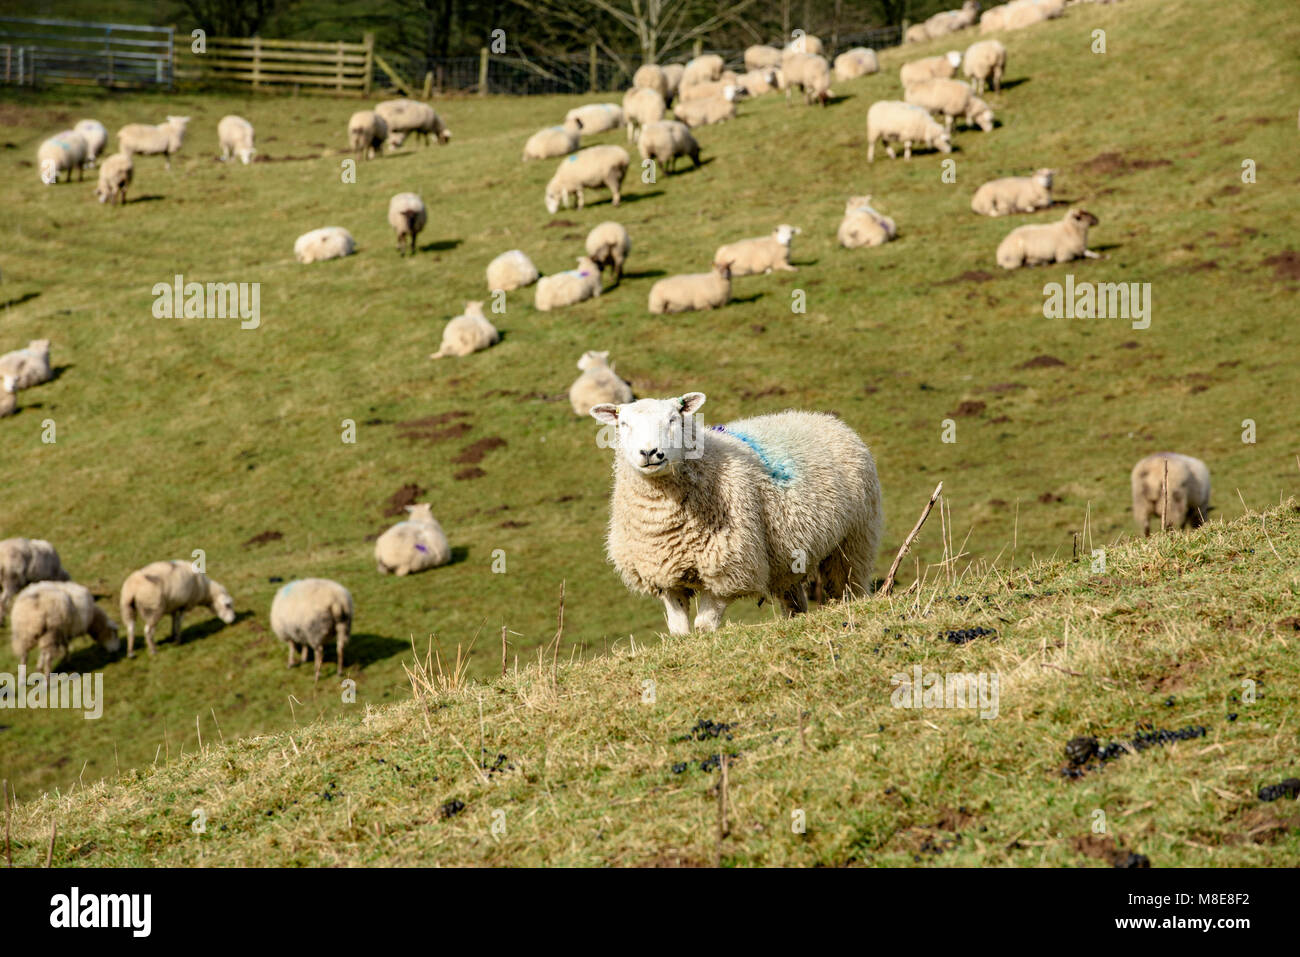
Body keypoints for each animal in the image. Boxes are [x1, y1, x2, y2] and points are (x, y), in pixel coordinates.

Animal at [587, 392, 883, 633]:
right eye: (623, 424)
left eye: (673, 419)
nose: (650, 452)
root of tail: (822, 418)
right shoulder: (664, 575)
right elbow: (680, 630)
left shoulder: (731, 567)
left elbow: (704, 624)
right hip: (786, 560)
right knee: (794, 601)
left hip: (853, 541)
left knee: (848, 587)